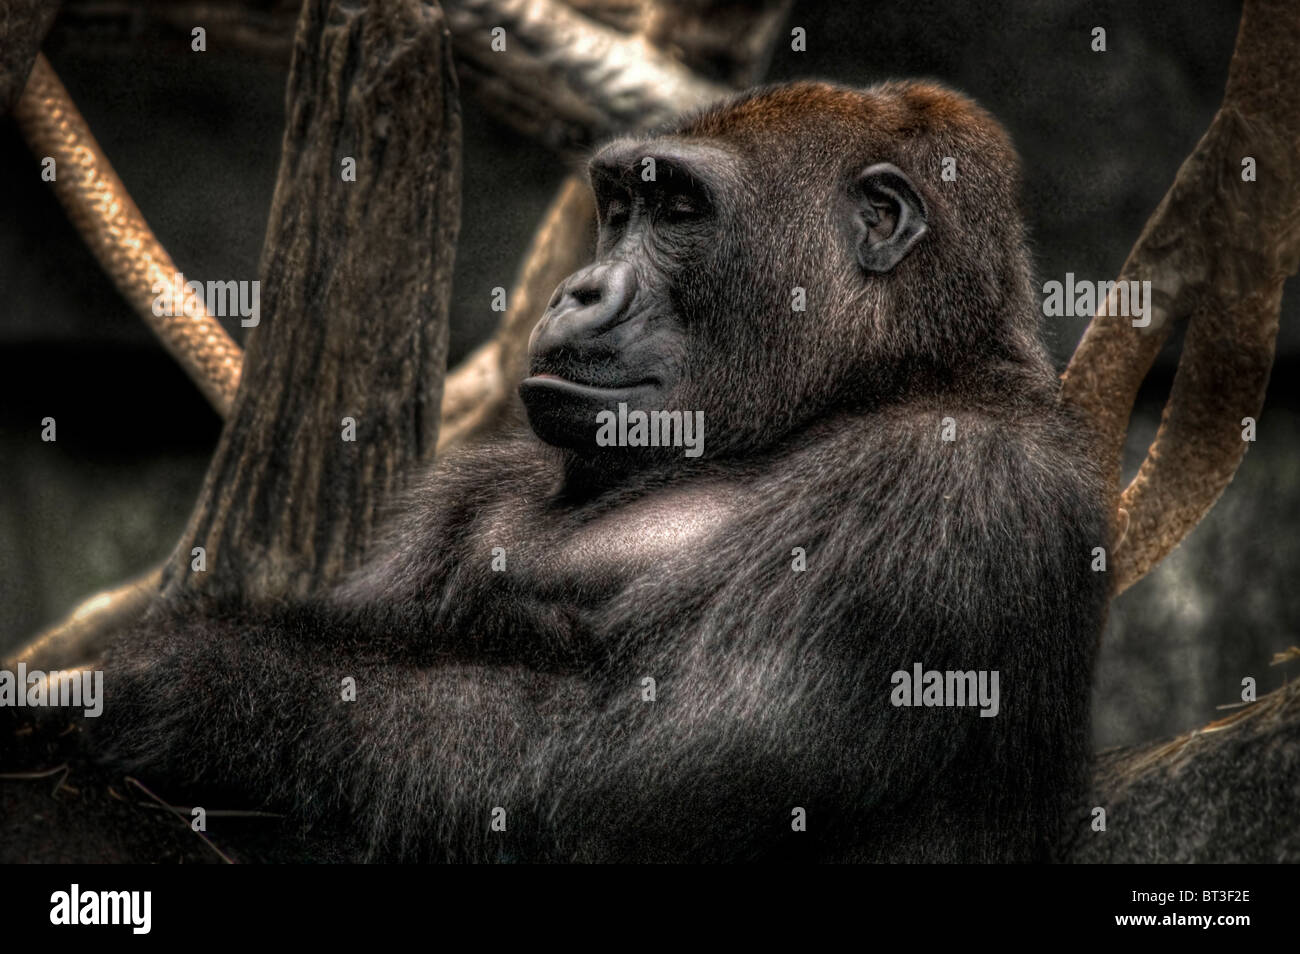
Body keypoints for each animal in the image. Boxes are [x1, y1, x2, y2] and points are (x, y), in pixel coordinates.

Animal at [97, 80, 1111, 863]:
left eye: (681, 212)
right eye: (620, 210)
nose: (577, 291)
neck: (893, 369)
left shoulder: (952, 477)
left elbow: (628, 773)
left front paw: (198, 682)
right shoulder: (475, 488)